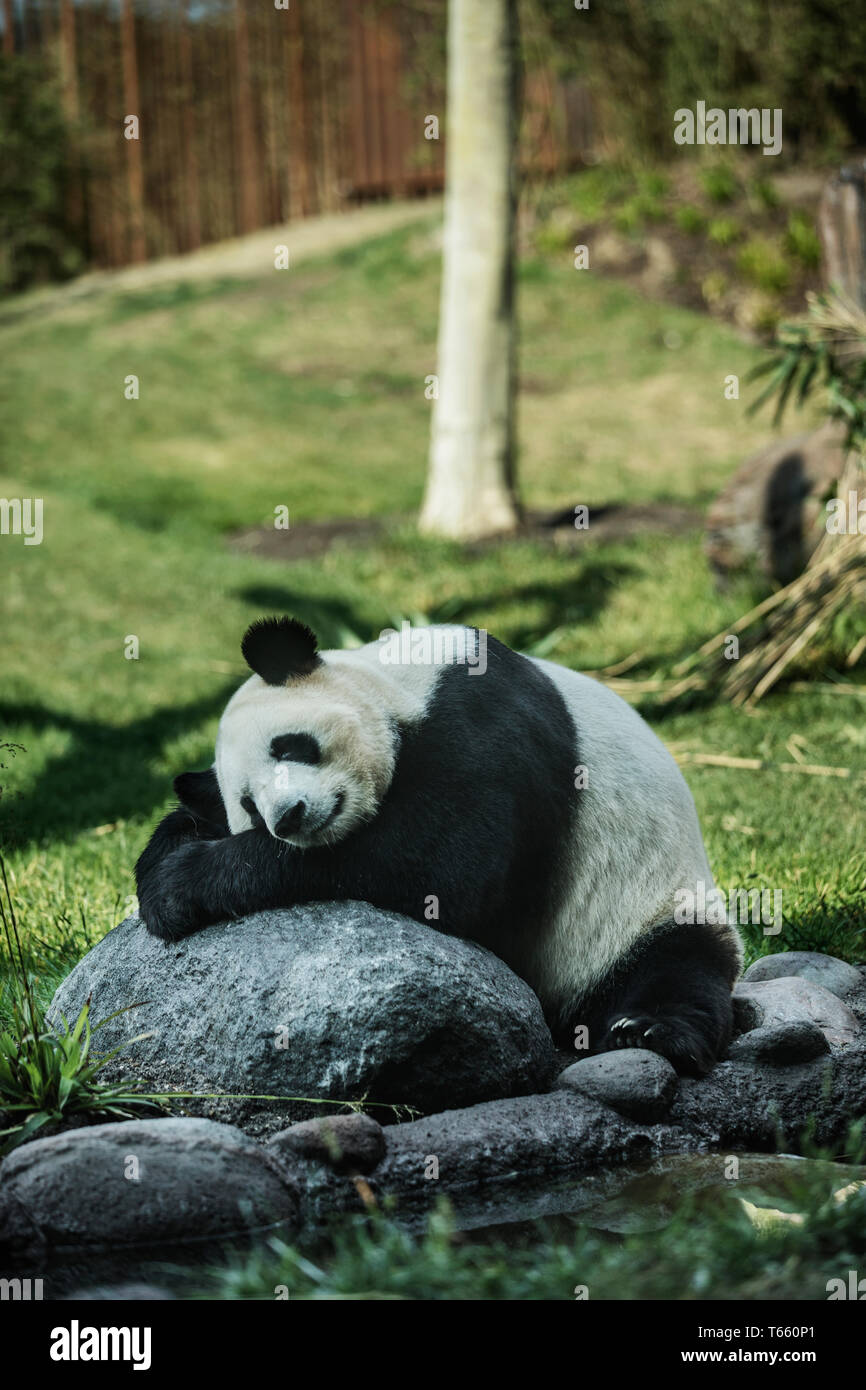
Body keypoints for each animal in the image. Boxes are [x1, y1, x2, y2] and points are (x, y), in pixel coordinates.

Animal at [135, 616, 742, 1075]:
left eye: (289, 746)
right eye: (250, 805)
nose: (288, 818)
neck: (396, 682)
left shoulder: (483, 720)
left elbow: (444, 870)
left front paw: (183, 881)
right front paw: (163, 872)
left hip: (639, 904)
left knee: (676, 964)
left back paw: (650, 1030)